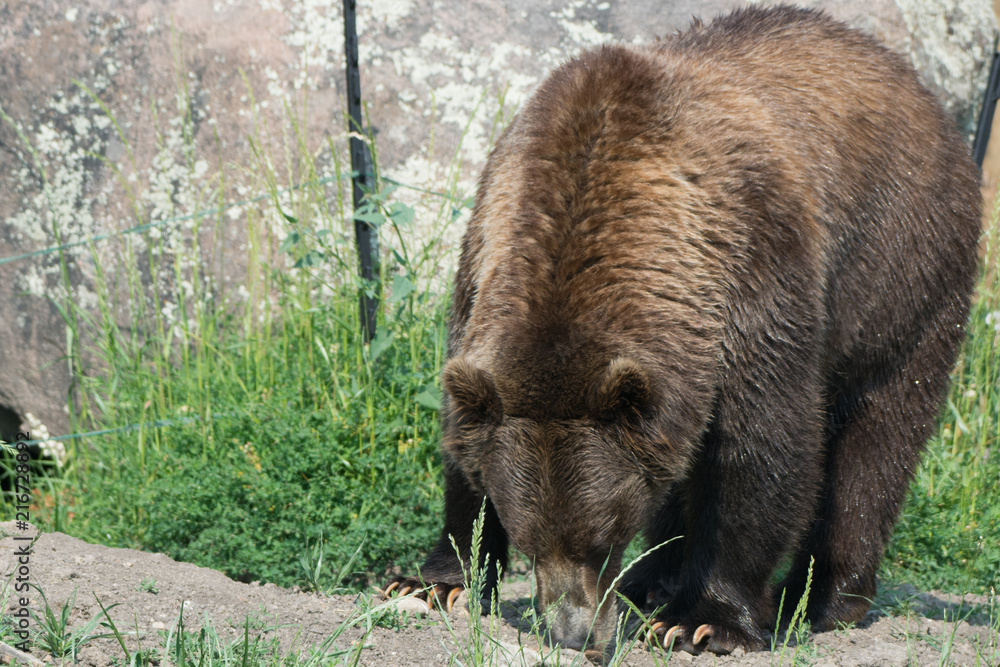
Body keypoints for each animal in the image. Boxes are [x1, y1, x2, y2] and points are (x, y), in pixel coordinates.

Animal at [384, 4, 982, 657]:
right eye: (529, 541)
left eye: (603, 537)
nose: (573, 634)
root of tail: (922, 91)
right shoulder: (484, 257)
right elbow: (465, 438)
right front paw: (437, 581)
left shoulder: (754, 266)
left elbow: (763, 445)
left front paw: (706, 621)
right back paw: (652, 582)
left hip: (904, 272)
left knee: (877, 438)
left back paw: (821, 598)